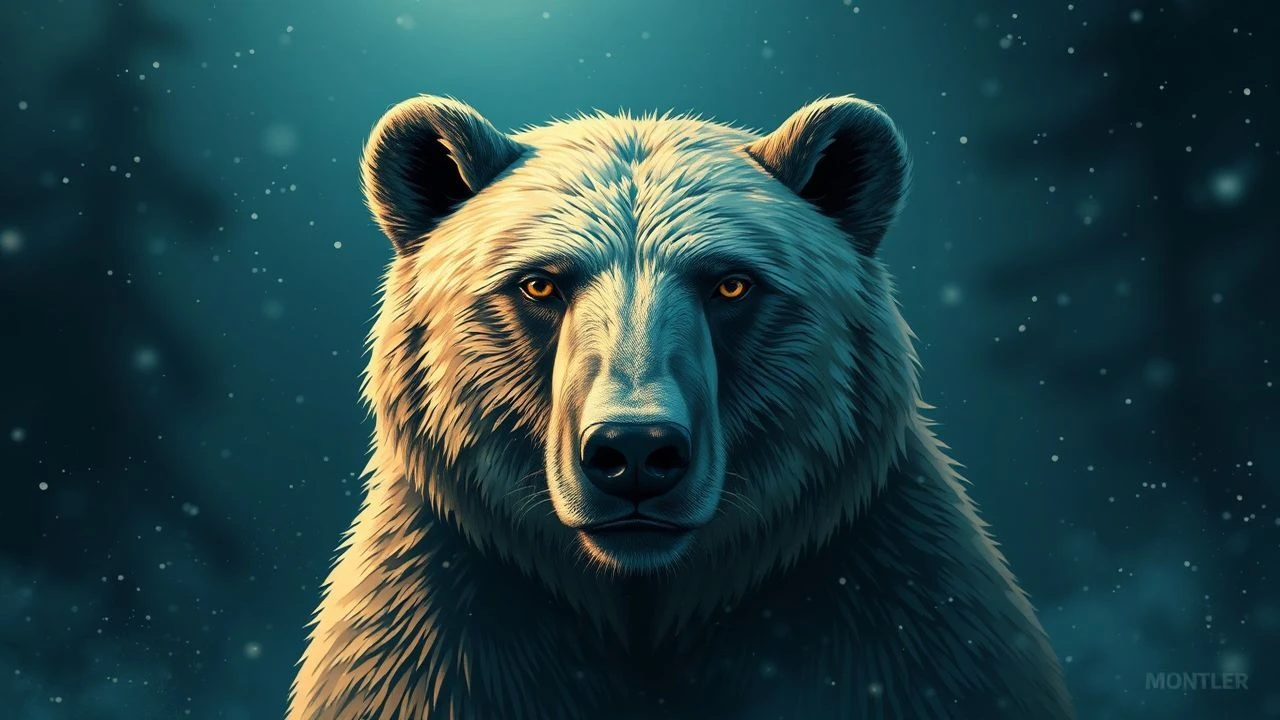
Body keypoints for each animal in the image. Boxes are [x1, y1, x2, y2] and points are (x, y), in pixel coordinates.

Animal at [287, 94, 1076, 720]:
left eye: (732, 283)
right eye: (539, 283)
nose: (635, 451)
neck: (649, 608)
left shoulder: (888, 627)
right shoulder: (446, 635)